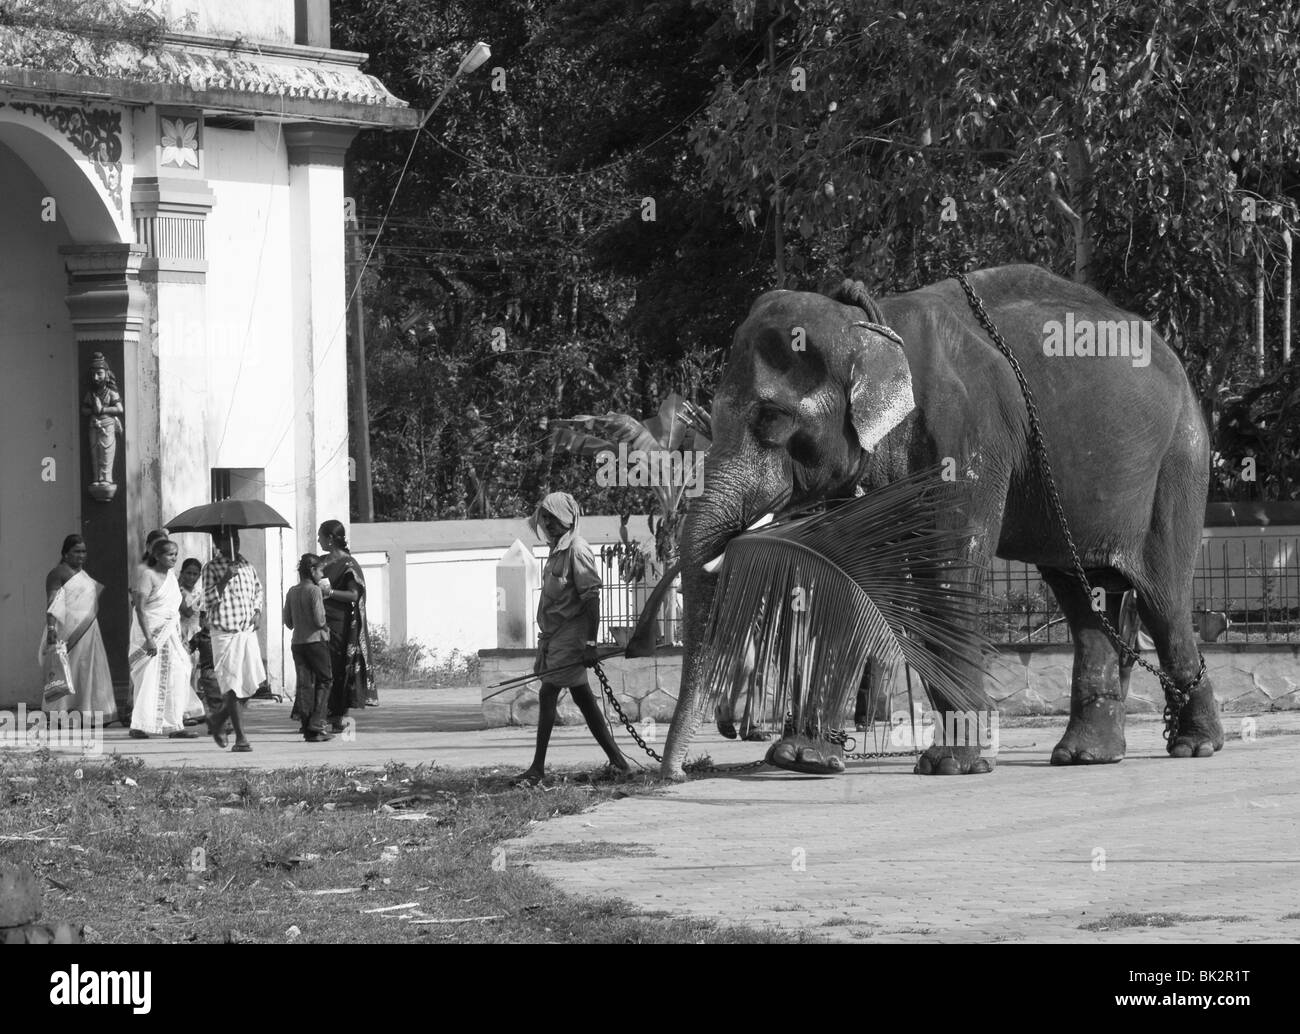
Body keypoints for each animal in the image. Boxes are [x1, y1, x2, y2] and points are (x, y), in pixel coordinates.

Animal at [658, 263, 1223, 780]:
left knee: (1162, 597)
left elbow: (947, 567)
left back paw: (1193, 746)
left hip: (1179, 460)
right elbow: (845, 574)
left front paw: (951, 765)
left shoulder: (964, 435)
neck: (870, 324)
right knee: (1086, 596)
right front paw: (801, 760)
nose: (677, 774)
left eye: (771, 418)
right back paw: (1085, 756)